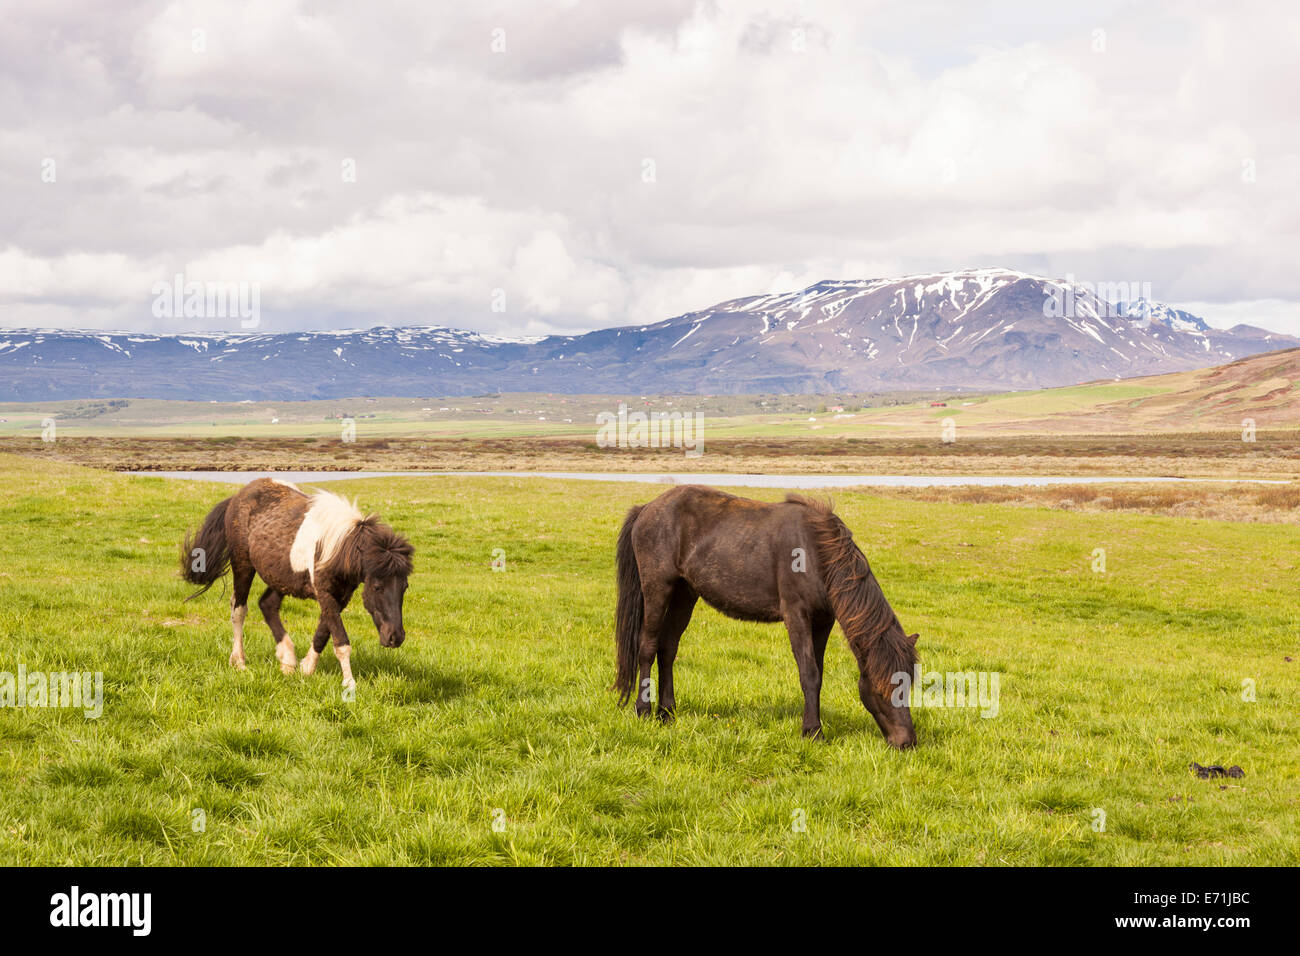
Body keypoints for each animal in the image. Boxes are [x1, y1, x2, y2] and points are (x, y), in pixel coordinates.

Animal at [180, 478, 414, 686]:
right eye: (377, 587)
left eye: (404, 587)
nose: (395, 637)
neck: (337, 546)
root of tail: (237, 496)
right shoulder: (325, 592)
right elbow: (341, 641)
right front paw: (349, 685)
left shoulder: (341, 595)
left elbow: (323, 633)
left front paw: (306, 668)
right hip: (243, 565)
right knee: (239, 609)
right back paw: (239, 662)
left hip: (281, 577)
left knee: (267, 604)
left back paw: (287, 660)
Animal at [613, 485, 919, 748]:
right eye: (882, 688)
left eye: (908, 684)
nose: (907, 742)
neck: (815, 551)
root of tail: (647, 508)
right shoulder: (797, 615)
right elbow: (808, 673)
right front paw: (813, 732)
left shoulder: (823, 622)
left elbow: (818, 673)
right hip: (657, 589)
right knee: (647, 647)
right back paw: (644, 710)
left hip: (684, 595)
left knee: (667, 649)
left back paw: (667, 713)